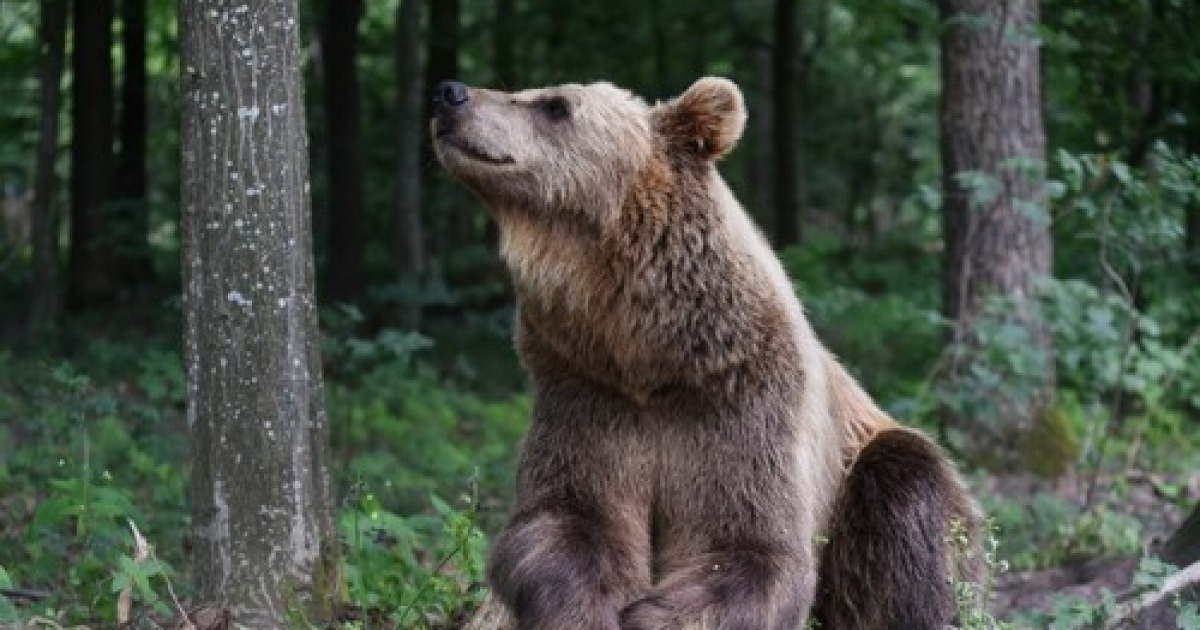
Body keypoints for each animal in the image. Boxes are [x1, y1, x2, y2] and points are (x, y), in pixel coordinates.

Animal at [431, 76, 982, 630]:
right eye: (534, 94)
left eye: (555, 106)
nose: (451, 93)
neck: (649, 355)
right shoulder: (587, 393)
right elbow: (566, 520)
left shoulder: (743, 406)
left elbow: (748, 547)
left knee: (906, 490)